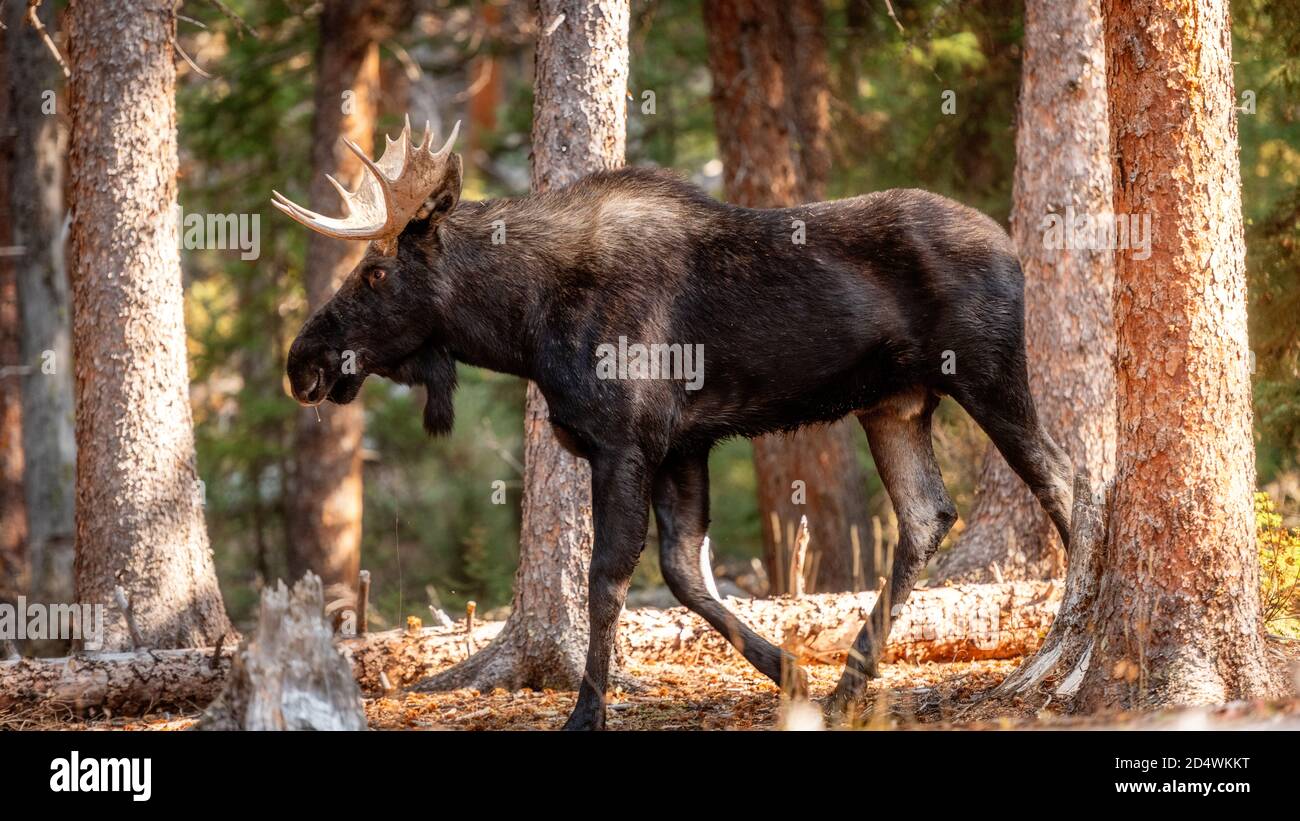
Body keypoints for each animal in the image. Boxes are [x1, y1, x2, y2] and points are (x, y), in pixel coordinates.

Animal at [275, 118, 1075, 730]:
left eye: (377, 272)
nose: (301, 362)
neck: (522, 328)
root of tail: (1012, 246)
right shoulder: (685, 445)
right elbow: (684, 571)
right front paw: (793, 675)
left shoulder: (626, 441)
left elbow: (608, 576)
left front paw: (586, 712)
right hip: (895, 405)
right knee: (927, 514)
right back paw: (850, 681)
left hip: (987, 373)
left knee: (1063, 477)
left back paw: (1063, 642)